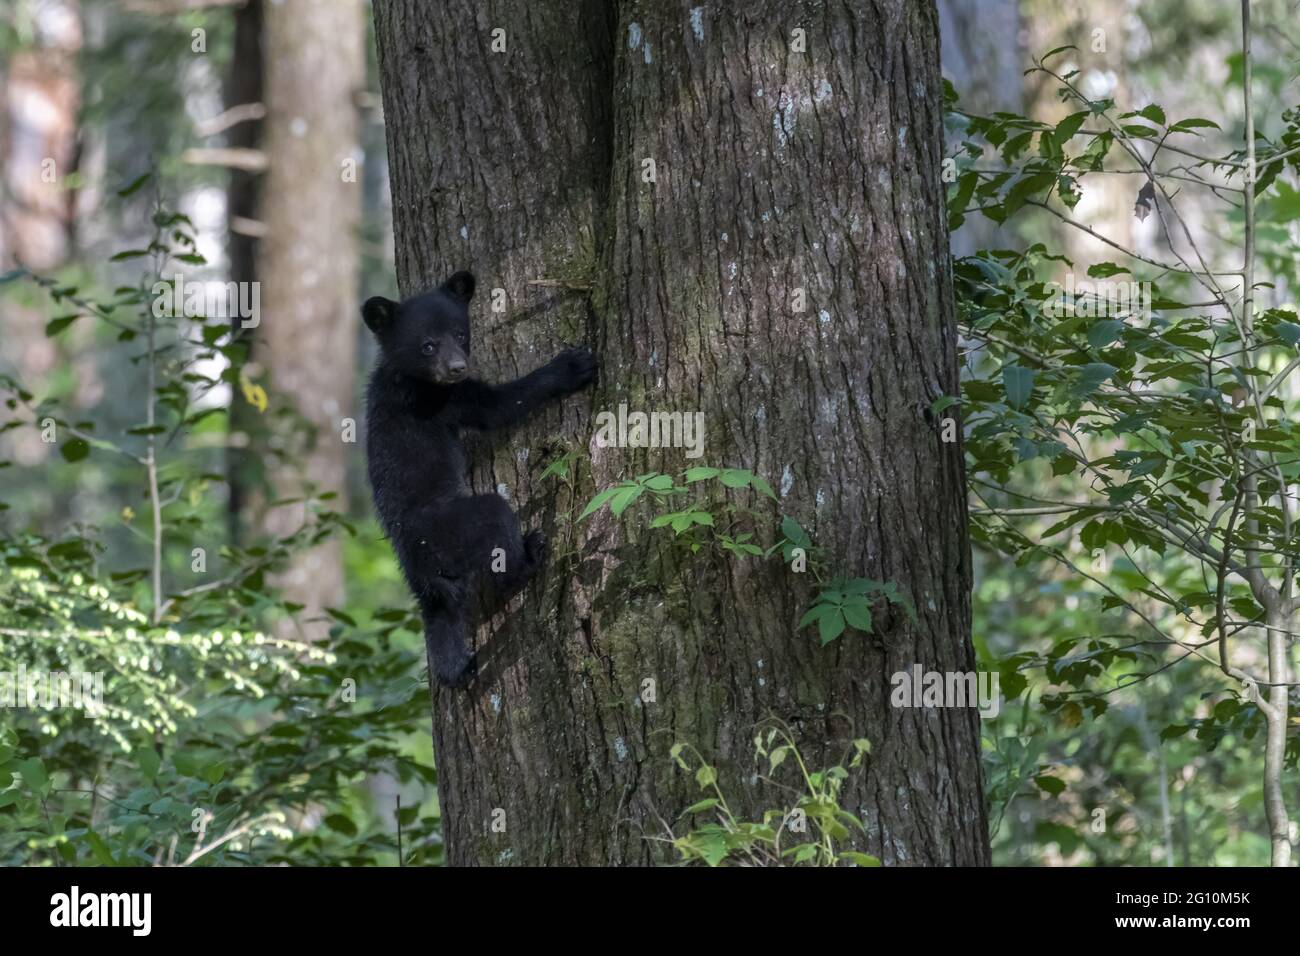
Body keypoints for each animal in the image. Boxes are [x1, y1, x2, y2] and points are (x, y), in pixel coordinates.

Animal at [362, 271, 595, 687]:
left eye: (460, 333)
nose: (457, 366)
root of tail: (419, 569)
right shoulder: (441, 400)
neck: (404, 374)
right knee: (496, 523)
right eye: (428, 345)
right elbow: (497, 405)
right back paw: (531, 554)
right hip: (456, 527)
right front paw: (572, 365)